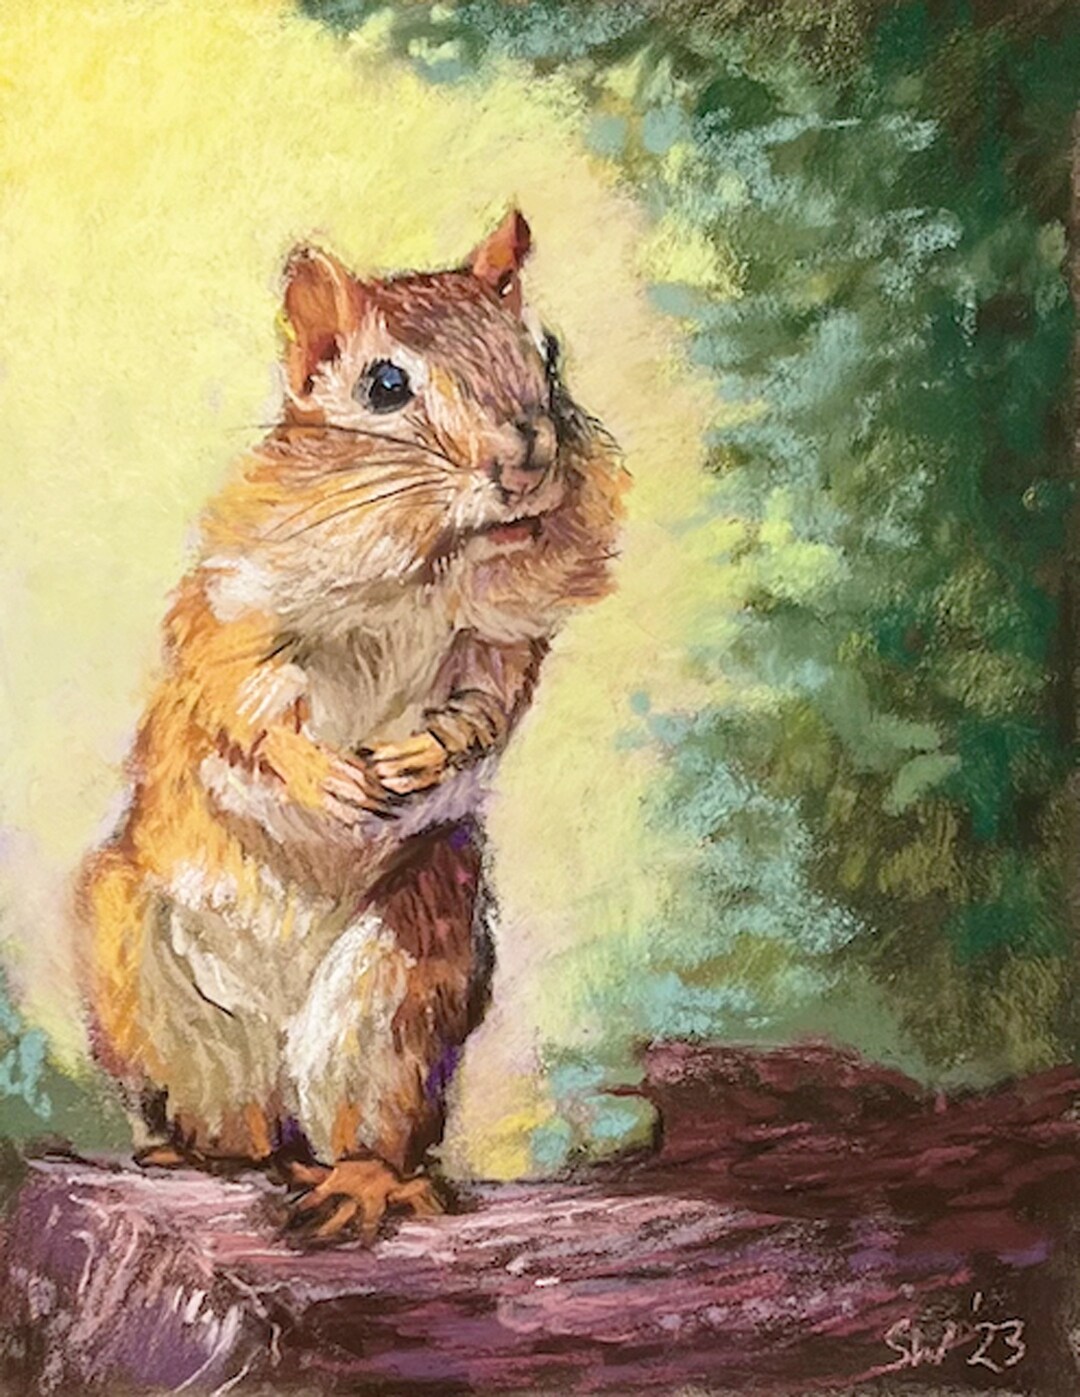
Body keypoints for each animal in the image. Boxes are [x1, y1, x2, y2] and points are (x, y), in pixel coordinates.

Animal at [76, 210, 627, 1239]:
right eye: (385, 385)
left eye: (548, 354)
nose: (527, 459)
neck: (425, 560)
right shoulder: (233, 613)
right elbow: (241, 704)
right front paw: (320, 773)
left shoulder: (495, 645)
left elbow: (485, 711)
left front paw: (423, 756)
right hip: (151, 986)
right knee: (233, 1127)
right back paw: (204, 1151)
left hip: (400, 986)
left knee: (358, 1119)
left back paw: (364, 1182)